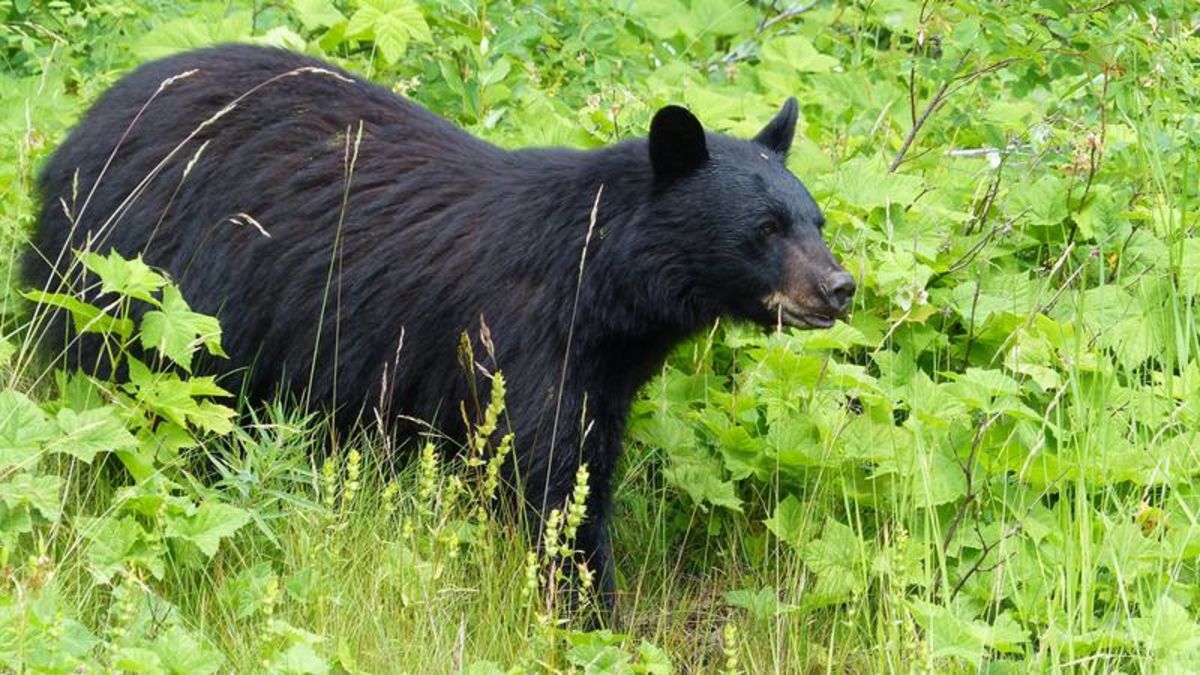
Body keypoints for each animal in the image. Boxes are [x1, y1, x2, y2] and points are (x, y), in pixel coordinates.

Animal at [25, 45, 854, 610]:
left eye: (815, 219)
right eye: (766, 228)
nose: (840, 287)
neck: (599, 278)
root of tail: (73, 140)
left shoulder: (603, 366)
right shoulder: (519, 336)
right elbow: (548, 474)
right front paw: (587, 602)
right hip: (145, 286)